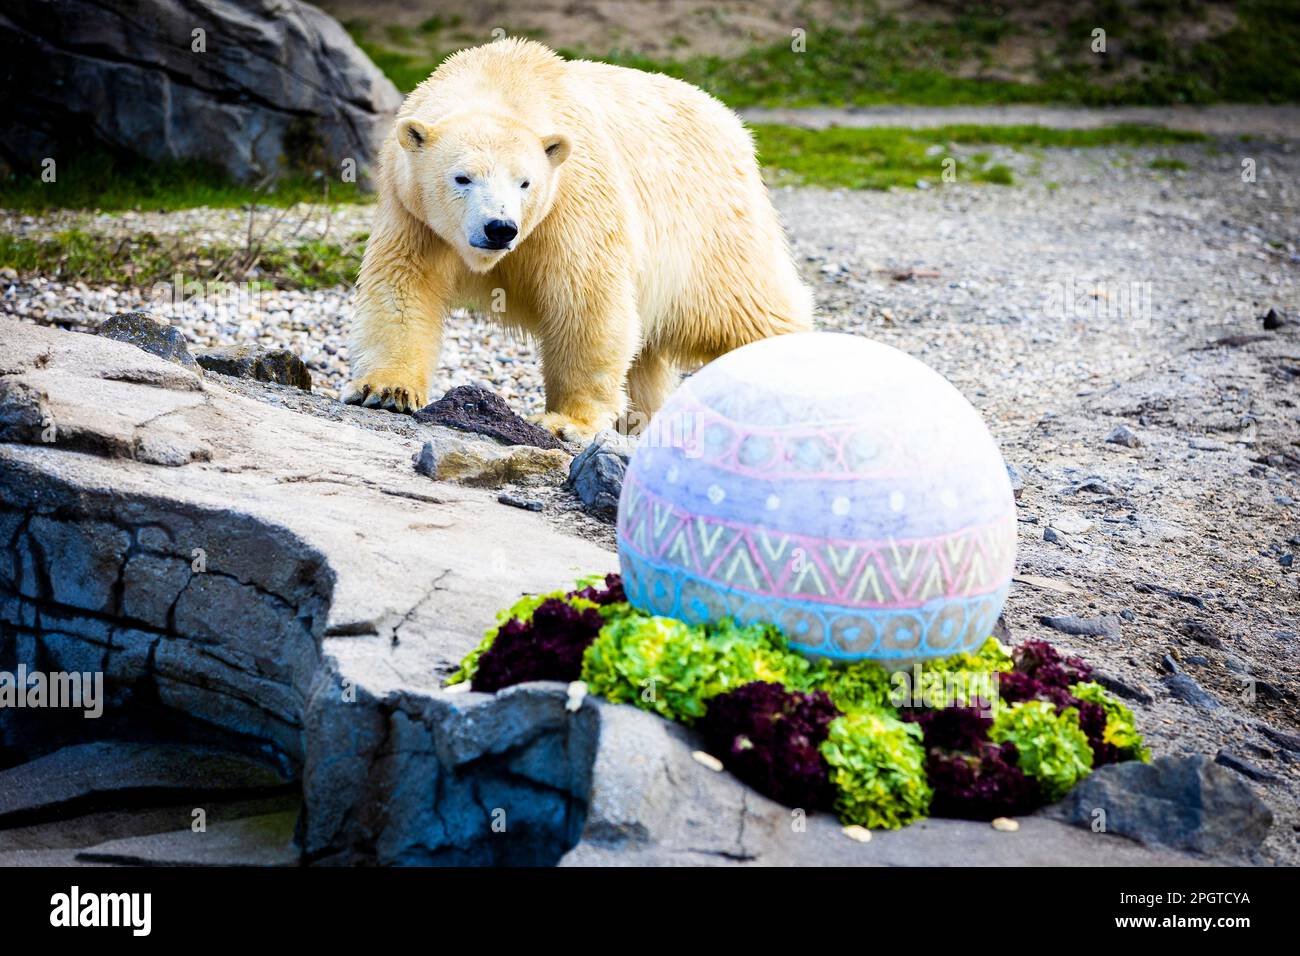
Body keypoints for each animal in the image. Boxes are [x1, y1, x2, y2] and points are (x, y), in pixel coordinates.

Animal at [344, 38, 813, 441]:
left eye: (525, 182)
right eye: (462, 177)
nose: (500, 227)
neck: (501, 77)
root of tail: (733, 124)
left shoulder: (572, 199)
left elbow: (586, 300)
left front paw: (566, 422)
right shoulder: (412, 211)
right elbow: (405, 284)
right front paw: (386, 390)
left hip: (712, 226)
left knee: (743, 309)